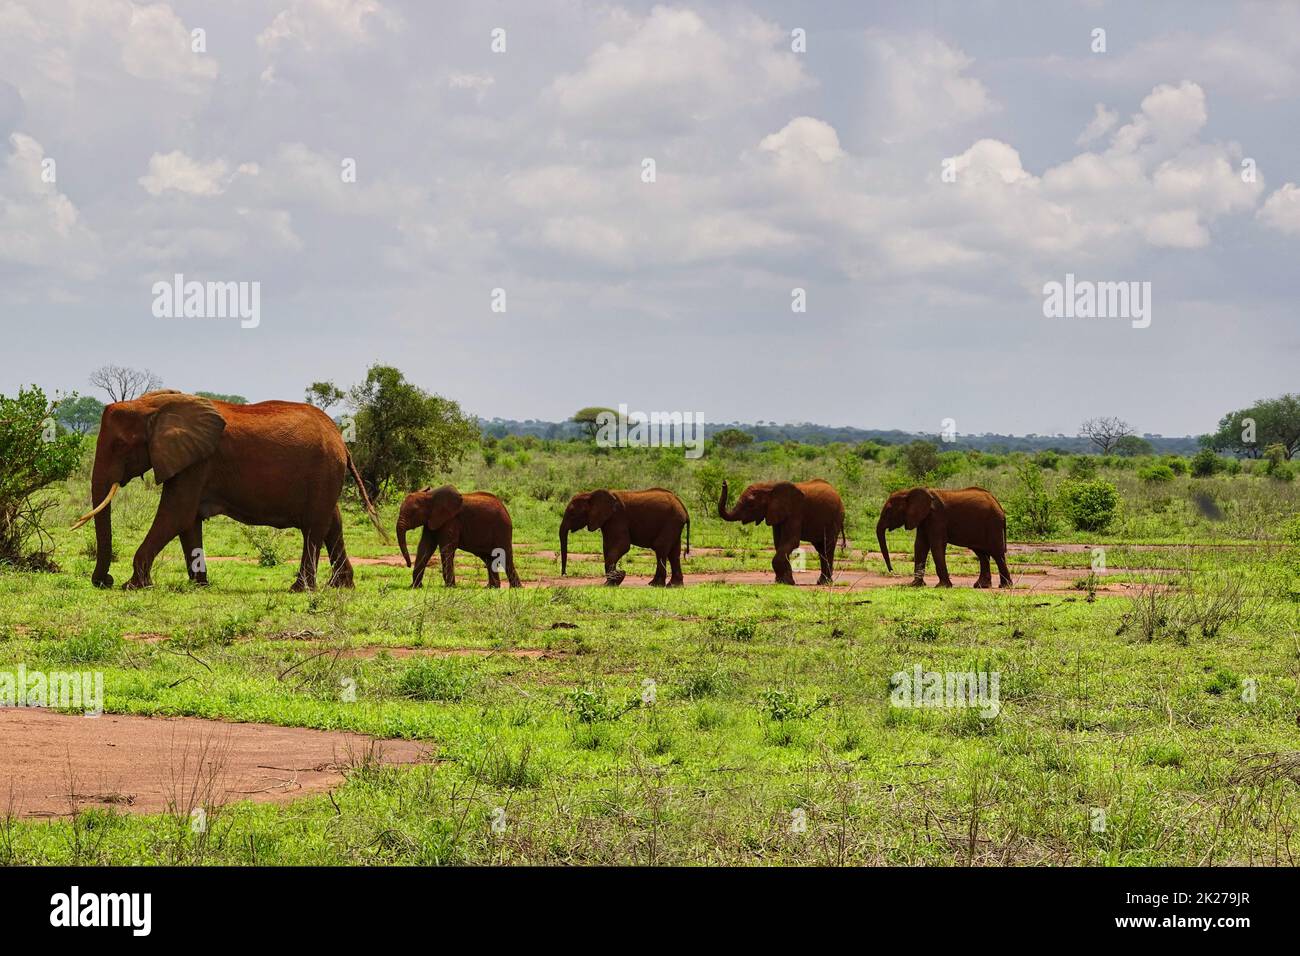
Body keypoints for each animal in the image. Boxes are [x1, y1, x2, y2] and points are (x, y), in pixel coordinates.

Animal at [72, 390, 383, 591]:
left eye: (120, 445)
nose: (104, 581)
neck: (152, 405)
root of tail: (341, 439)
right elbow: (188, 521)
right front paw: (199, 586)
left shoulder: (197, 462)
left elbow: (175, 515)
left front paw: (134, 585)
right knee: (333, 522)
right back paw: (341, 586)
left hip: (323, 471)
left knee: (314, 527)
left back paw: (300, 588)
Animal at [559, 488, 690, 586]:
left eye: (572, 513)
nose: (564, 574)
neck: (590, 494)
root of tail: (682, 506)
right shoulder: (608, 521)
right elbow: (607, 547)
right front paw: (612, 581)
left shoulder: (617, 517)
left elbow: (622, 545)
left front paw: (615, 580)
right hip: (675, 523)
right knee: (674, 552)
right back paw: (673, 585)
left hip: (671, 521)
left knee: (660, 548)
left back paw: (655, 584)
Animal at [717, 479, 846, 584]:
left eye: (750, 504)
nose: (724, 482)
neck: (769, 487)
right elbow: (779, 543)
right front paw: (782, 581)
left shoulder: (795, 512)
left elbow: (791, 542)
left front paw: (787, 582)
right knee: (821, 549)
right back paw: (822, 582)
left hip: (835, 519)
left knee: (827, 547)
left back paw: (825, 583)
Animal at [876, 486, 1012, 588]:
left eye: (888, 510)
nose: (892, 571)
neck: (909, 491)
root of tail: (999, 505)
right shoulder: (924, 519)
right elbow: (920, 545)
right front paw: (914, 585)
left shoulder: (937, 517)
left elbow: (936, 545)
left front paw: (942, 587)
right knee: (982, 554)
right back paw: (981, 586)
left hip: (993, 524)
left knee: (997, 553)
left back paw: (1005, 586)